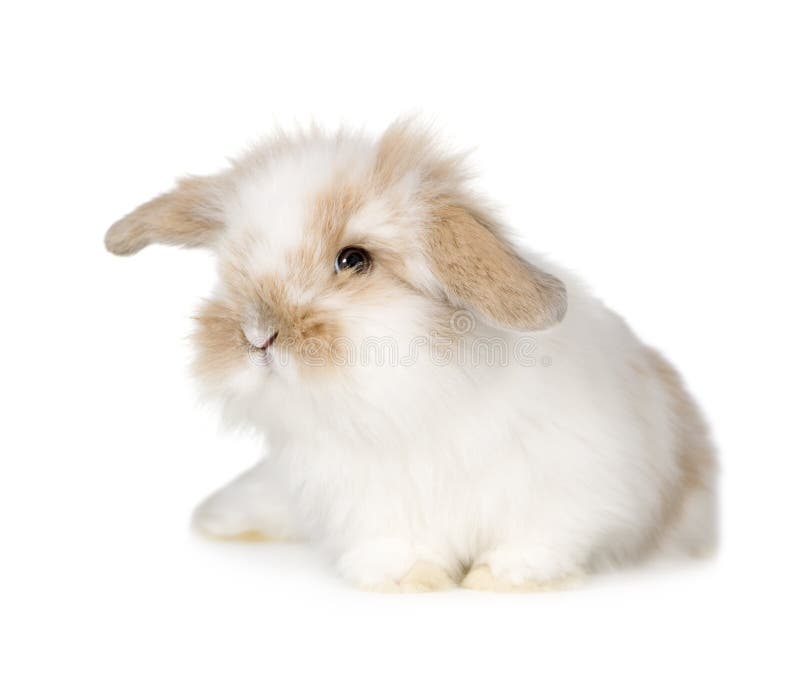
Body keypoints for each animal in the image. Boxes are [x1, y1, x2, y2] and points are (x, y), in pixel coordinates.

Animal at [104, 120, 717, 592]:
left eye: (354, 259)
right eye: (230, 268)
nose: (257, 335)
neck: (413, 406)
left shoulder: (572, 490)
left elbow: (536, 540)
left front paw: (501, 579)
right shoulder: (369, 503)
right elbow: (394, 544)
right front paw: (408, 579)